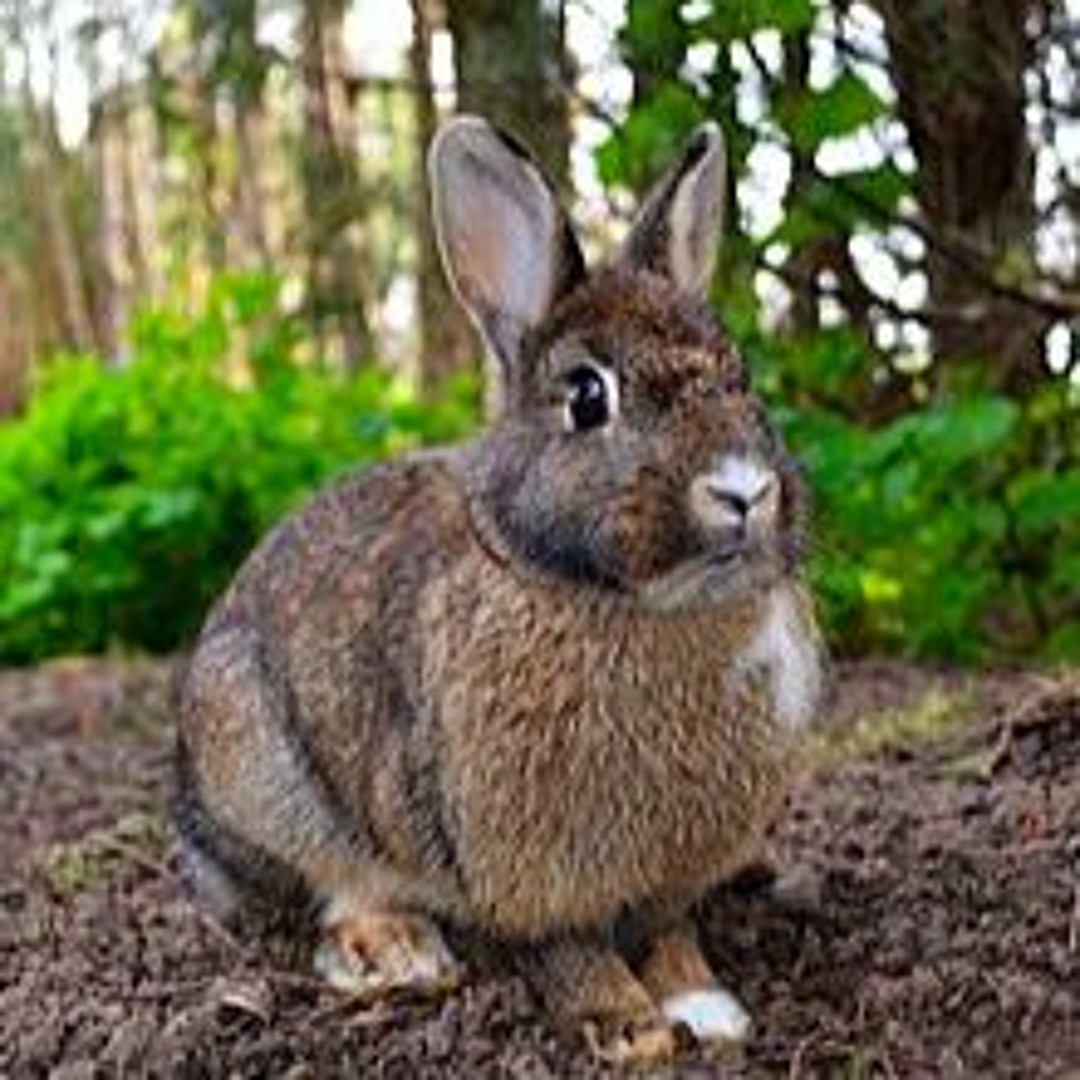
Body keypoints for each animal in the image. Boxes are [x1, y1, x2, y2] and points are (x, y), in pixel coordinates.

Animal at [173, 114, 824, 1064]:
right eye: (587, 395)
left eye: (740, 375)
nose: (743, 489)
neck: (629, 601)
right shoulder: (525, 869)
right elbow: (566, 947)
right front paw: (629, 1030)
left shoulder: (672, 878)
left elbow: (670, 934)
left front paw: (706, 1006)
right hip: (263, 774)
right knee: (331, 888)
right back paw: (397, 953)